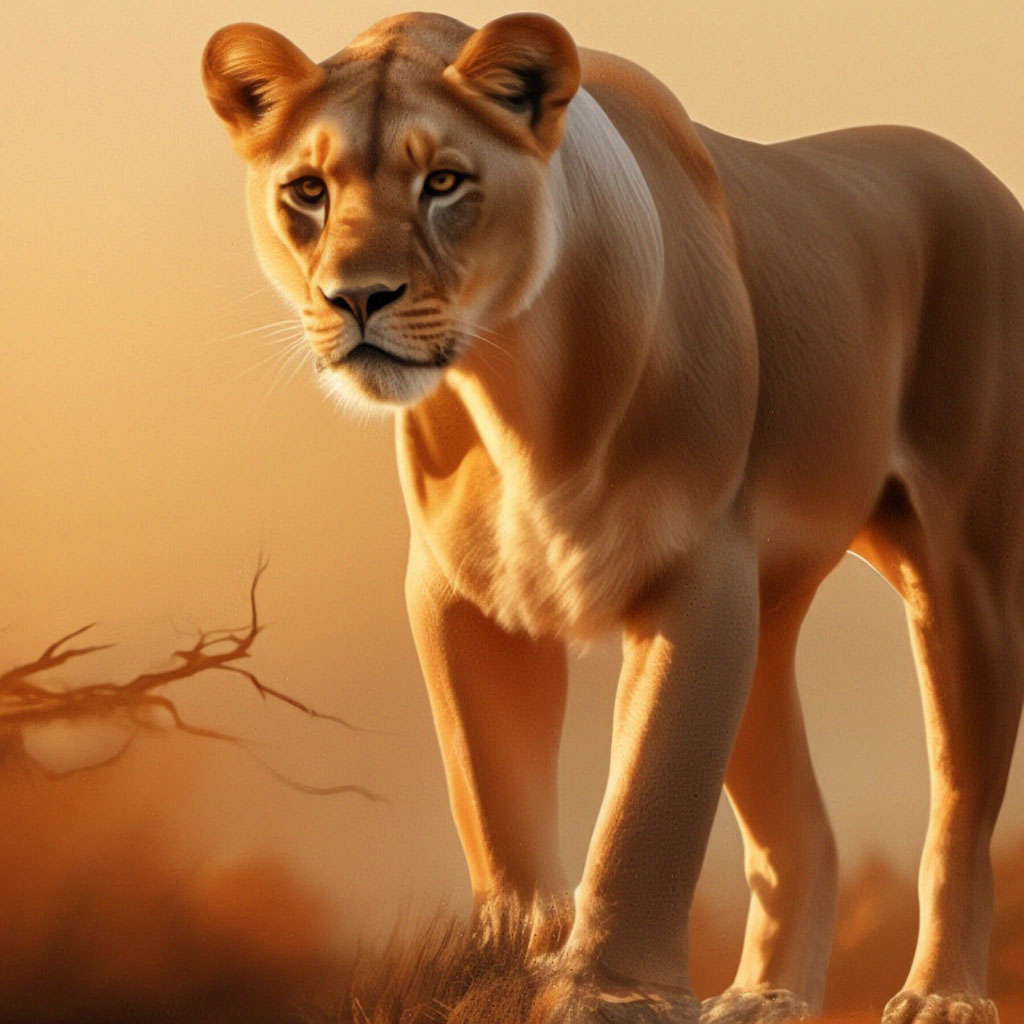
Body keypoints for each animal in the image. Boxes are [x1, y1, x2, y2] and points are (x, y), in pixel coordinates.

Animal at [202, 12, 1024, 1023]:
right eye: (308, 192)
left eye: (444, 182)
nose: (357, 297)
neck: (515, 382)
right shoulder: (461, 597)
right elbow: (494, 801)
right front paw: (501, 970)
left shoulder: (698, 576)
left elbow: (650, 796)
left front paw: (609, 989)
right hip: (768, 612)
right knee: (807, 829)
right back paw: (764, 997)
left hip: (961, 572)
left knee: (960, 808)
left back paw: (942, 994)